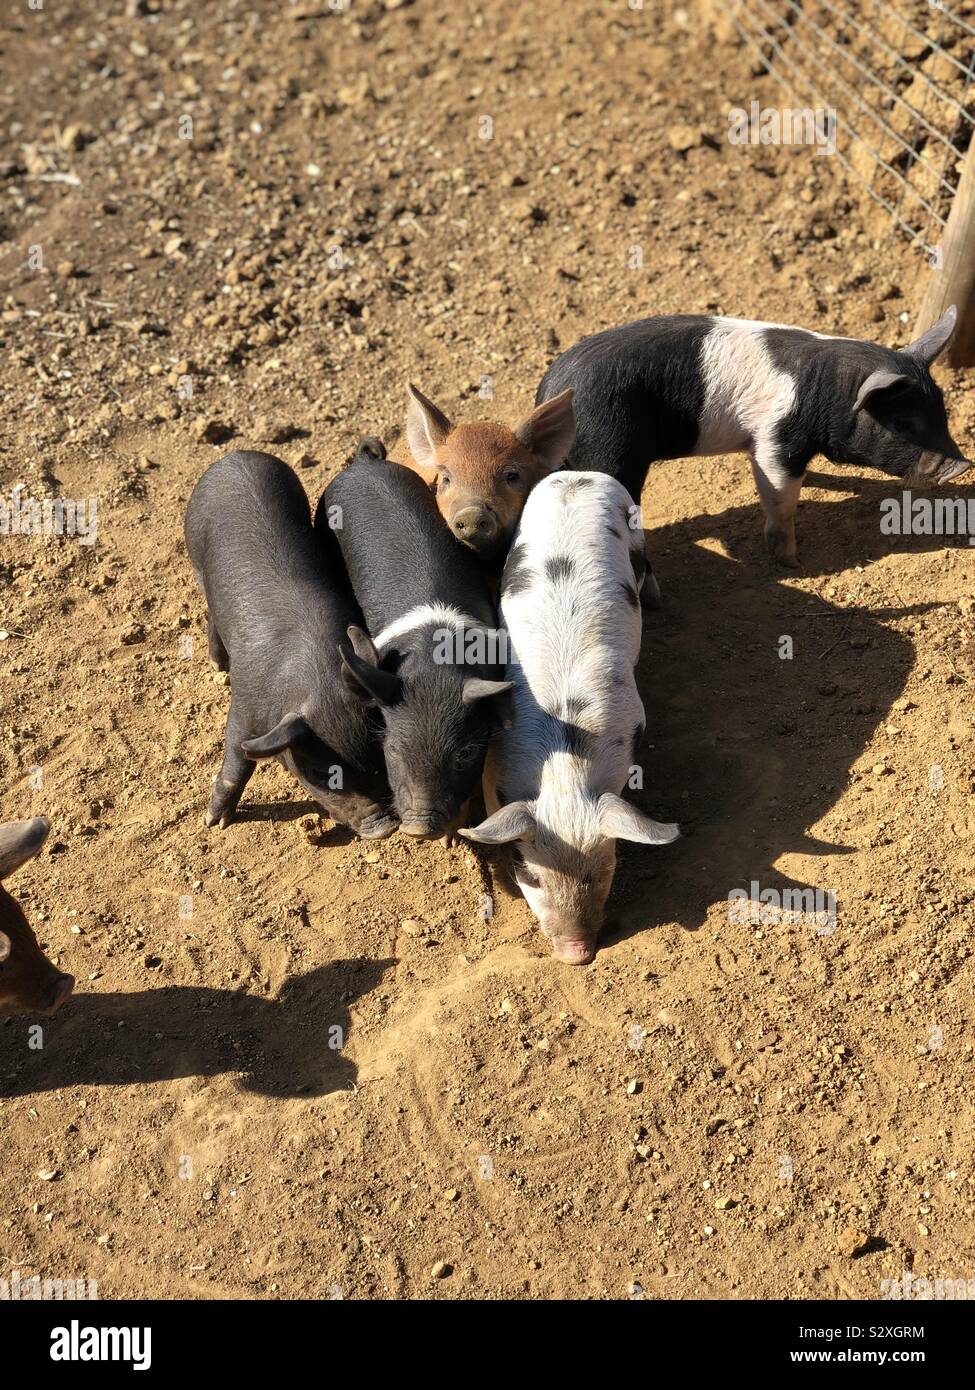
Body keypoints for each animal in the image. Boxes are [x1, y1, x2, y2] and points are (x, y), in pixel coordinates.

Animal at [185, 450, 397, 838]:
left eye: (382, 755)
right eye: (318, 772)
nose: (384, 827)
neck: (317, 680)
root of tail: (236, 456)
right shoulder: (246, 707)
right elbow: (236, 759)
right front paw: (214, 823)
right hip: (195, 556)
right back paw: (218, 665)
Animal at [315, 449, 512, 840]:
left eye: (465, 753)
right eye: (392, 750)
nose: (418, 828)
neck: (435, 659)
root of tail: (365, 463)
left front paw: (450, 836)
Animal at [536, 306, 971, 567]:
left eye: (943, 413)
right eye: (904, 423)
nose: (962, 466)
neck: (827, 390)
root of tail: (551, 392)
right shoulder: (775, 441)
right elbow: (781, 498)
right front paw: (792, 562)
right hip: (610, 451)